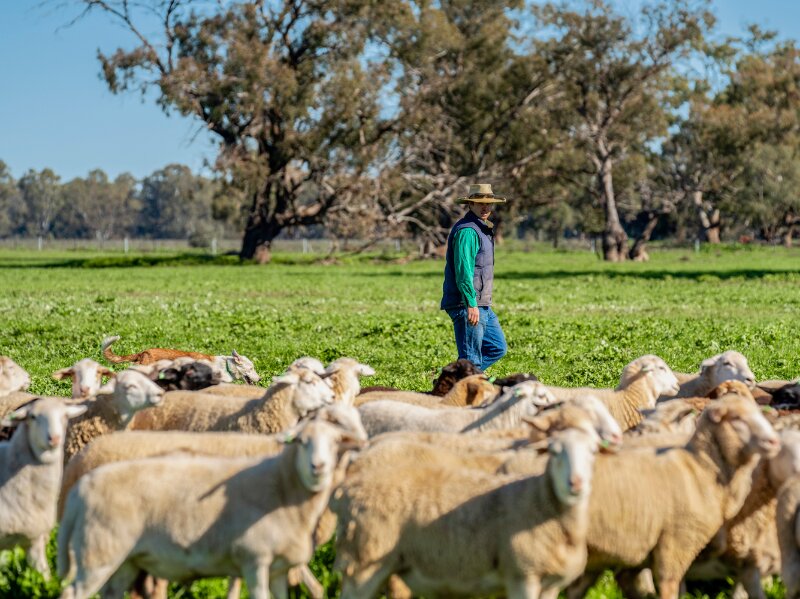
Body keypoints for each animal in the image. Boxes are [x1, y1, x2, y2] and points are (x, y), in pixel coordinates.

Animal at [57, 418, 360, 599]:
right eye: (301, 442)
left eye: (337, 441)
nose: (319, 467)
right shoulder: (253, 554)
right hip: (101, 551)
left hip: (125, 557)